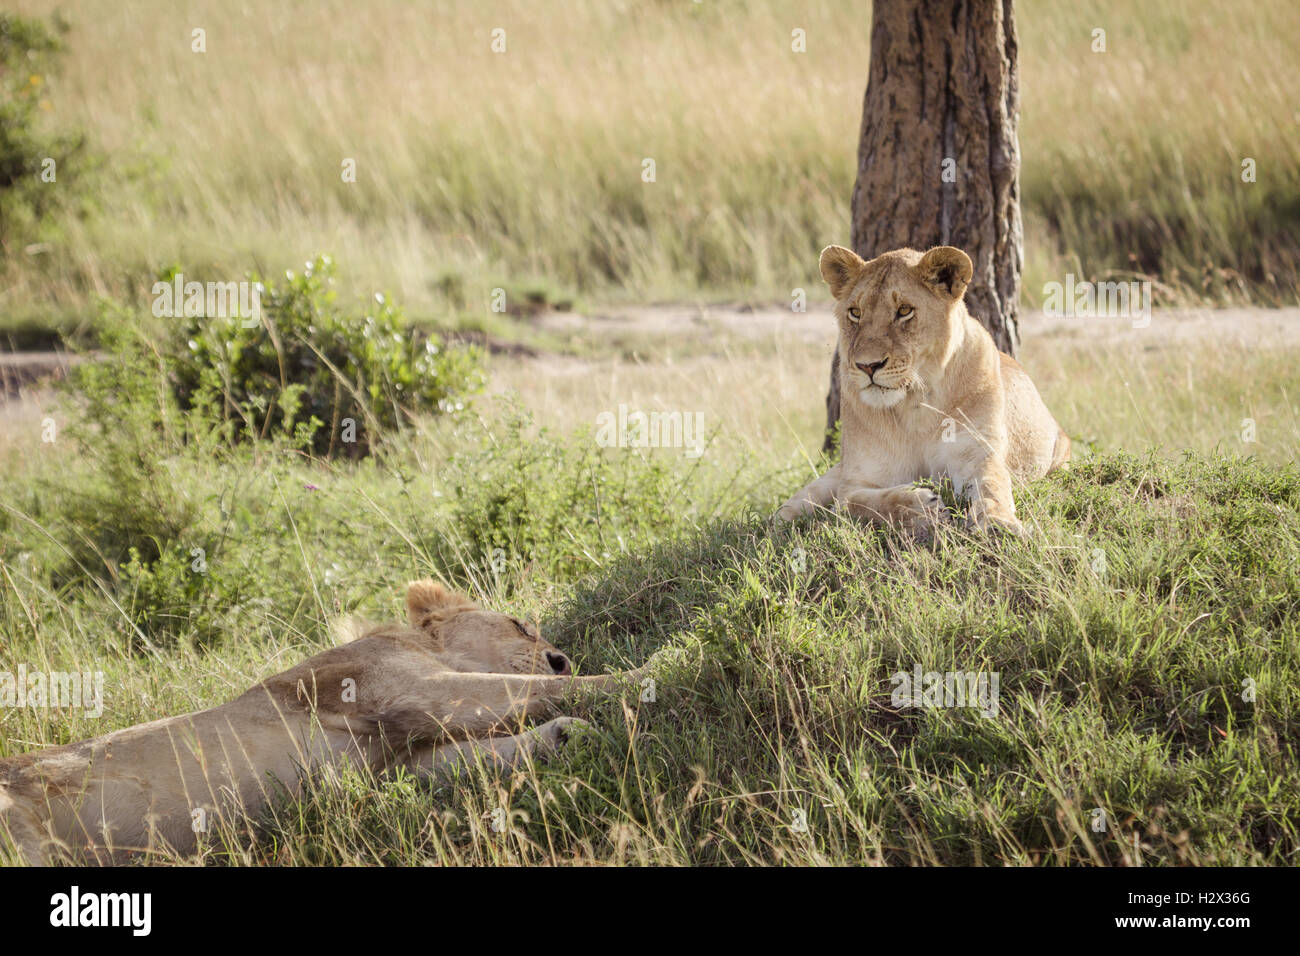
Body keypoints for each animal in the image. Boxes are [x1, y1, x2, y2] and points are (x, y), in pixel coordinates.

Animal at [0, 580, 642, 865]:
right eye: (520, 625)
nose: (561, 655)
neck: (426, 646)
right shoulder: (412, 691)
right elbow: (546, 691)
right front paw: (646, 672)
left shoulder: (396, 762)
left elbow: (486, 757)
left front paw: (573, 734)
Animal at [778, 244, 1070, 536]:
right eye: (855, 313)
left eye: (904, 310)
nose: (867, 366)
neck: (914, 406)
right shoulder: (855, 481)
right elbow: (863, 503)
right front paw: (924, 507)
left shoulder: (977, 453)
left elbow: (992, 485)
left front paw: (998, 524)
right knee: (786, 511)